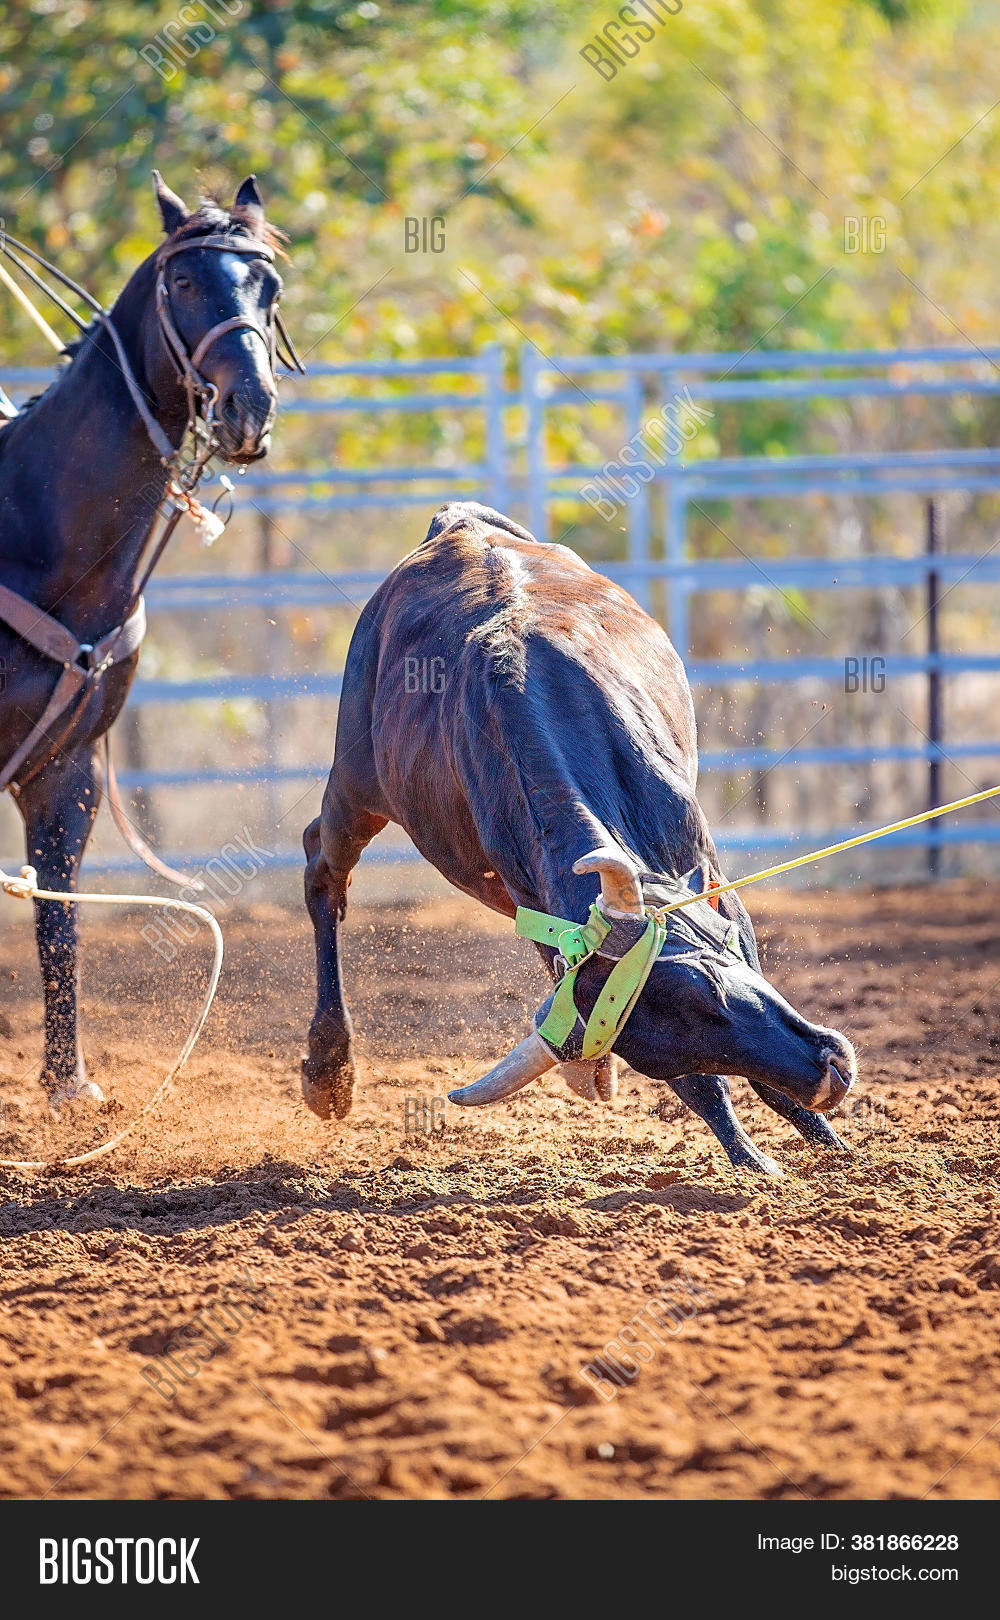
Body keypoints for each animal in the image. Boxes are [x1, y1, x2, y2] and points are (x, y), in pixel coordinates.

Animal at [302, 501, 855, 1176]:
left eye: (713, 988)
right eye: (679, 1048)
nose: (827, 1076)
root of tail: (454, 523)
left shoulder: (706, 872)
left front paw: (823, 1138)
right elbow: (704, 1093)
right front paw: (753, 1157)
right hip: (357, 781)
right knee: (322, 867)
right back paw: (329, 1069)